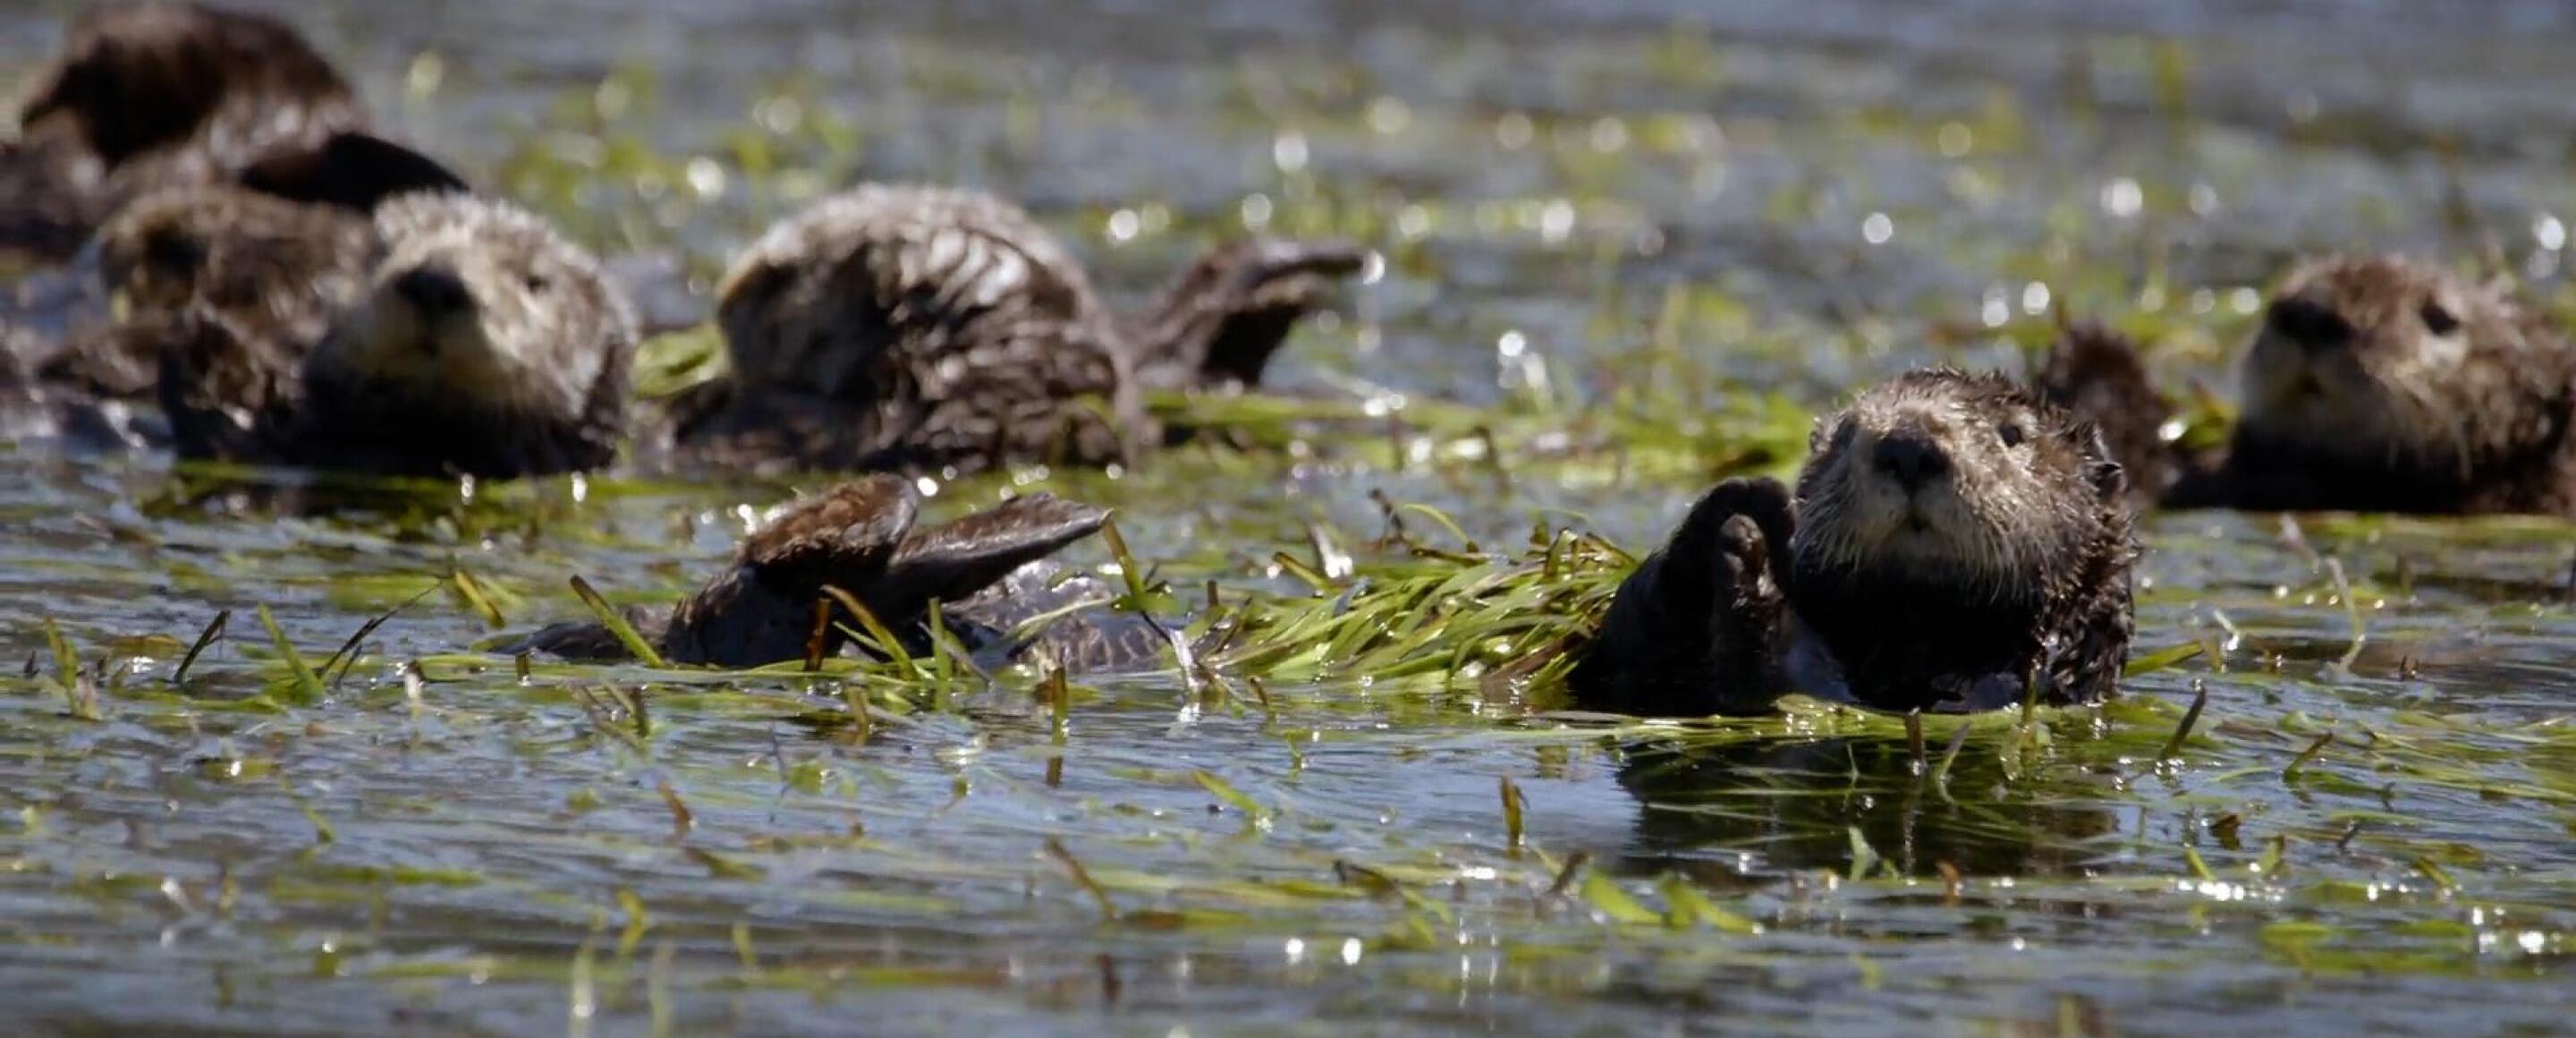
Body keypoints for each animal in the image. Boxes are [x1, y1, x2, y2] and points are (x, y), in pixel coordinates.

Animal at [1569, 369, 2134, 715]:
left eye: (2013, 434)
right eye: (1845, 433)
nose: (1907, 446)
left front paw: (1749, 567)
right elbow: (1622, 659)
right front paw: (1737, 507)